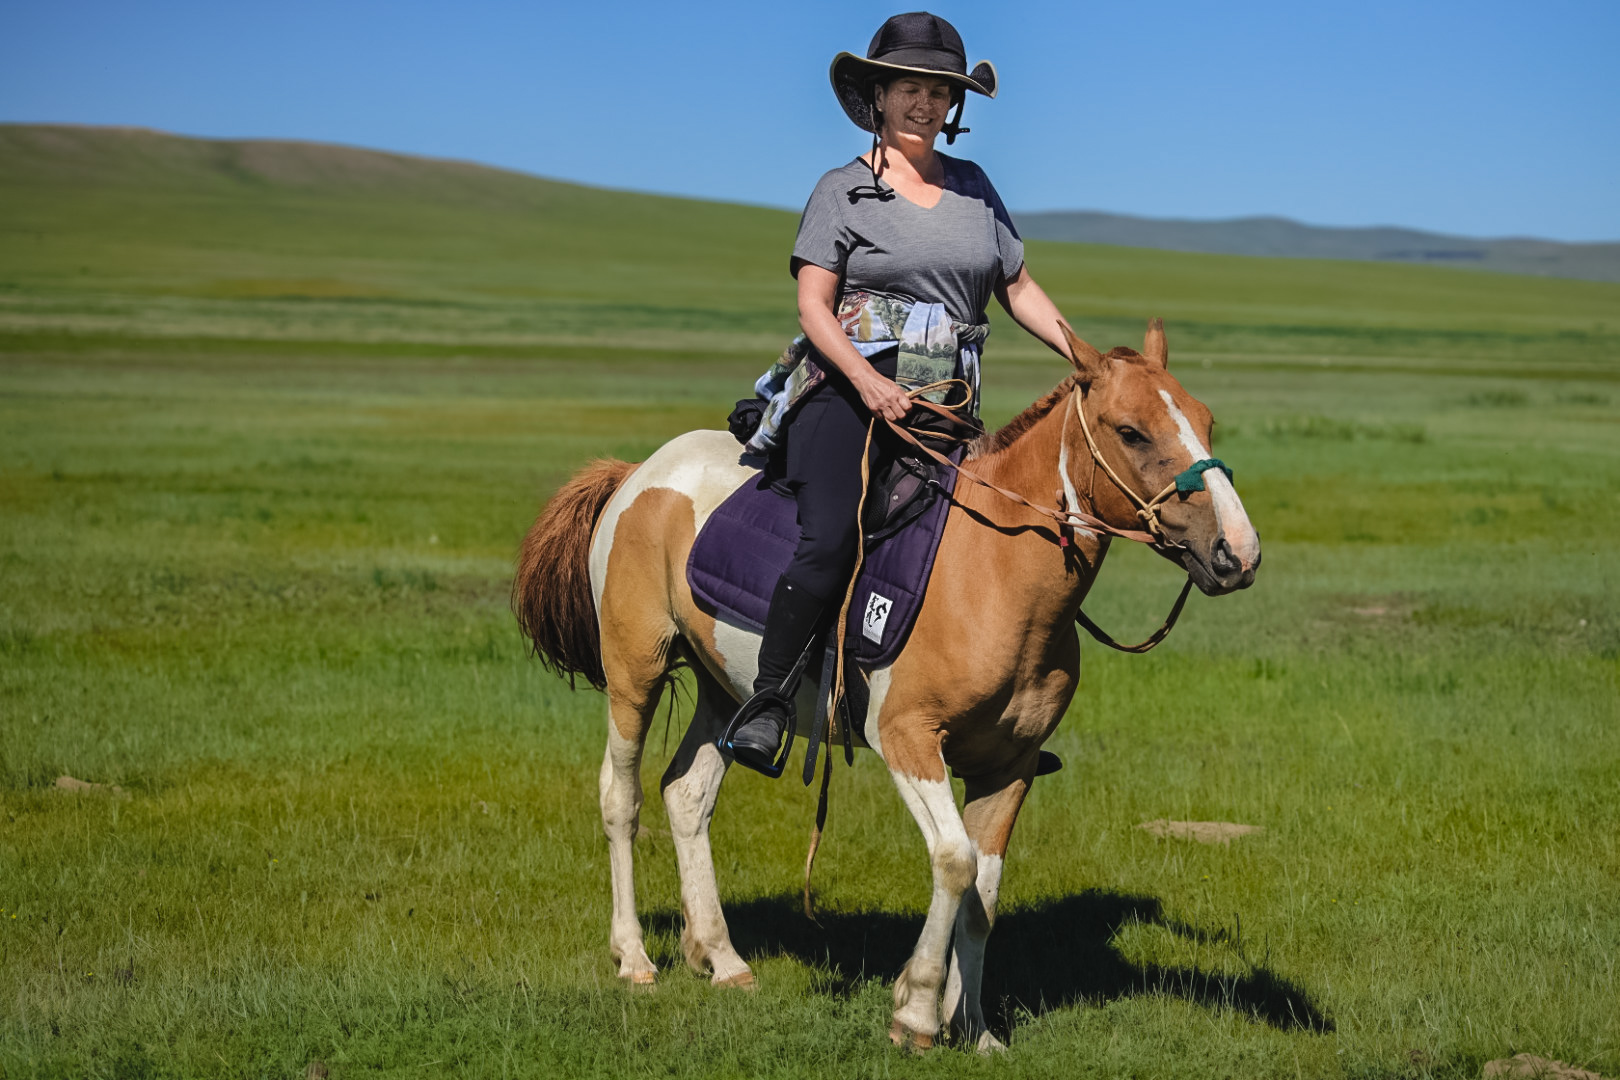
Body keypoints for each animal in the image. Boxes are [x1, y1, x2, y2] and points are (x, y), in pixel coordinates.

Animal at [513, 320, 1260, 1050]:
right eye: (1131, 432)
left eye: (1206, 420)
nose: (1239, 552)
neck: (993, 570)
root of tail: (638, 473)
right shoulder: (909, 738)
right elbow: (954, 861)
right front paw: (918, 1011)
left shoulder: (1010, 764)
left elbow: (984, 893)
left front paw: (976, 1028)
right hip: (633, 670)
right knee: (623, 798)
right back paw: (635, 958)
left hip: (725, 689)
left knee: (687, 795)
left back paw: (721, 958)